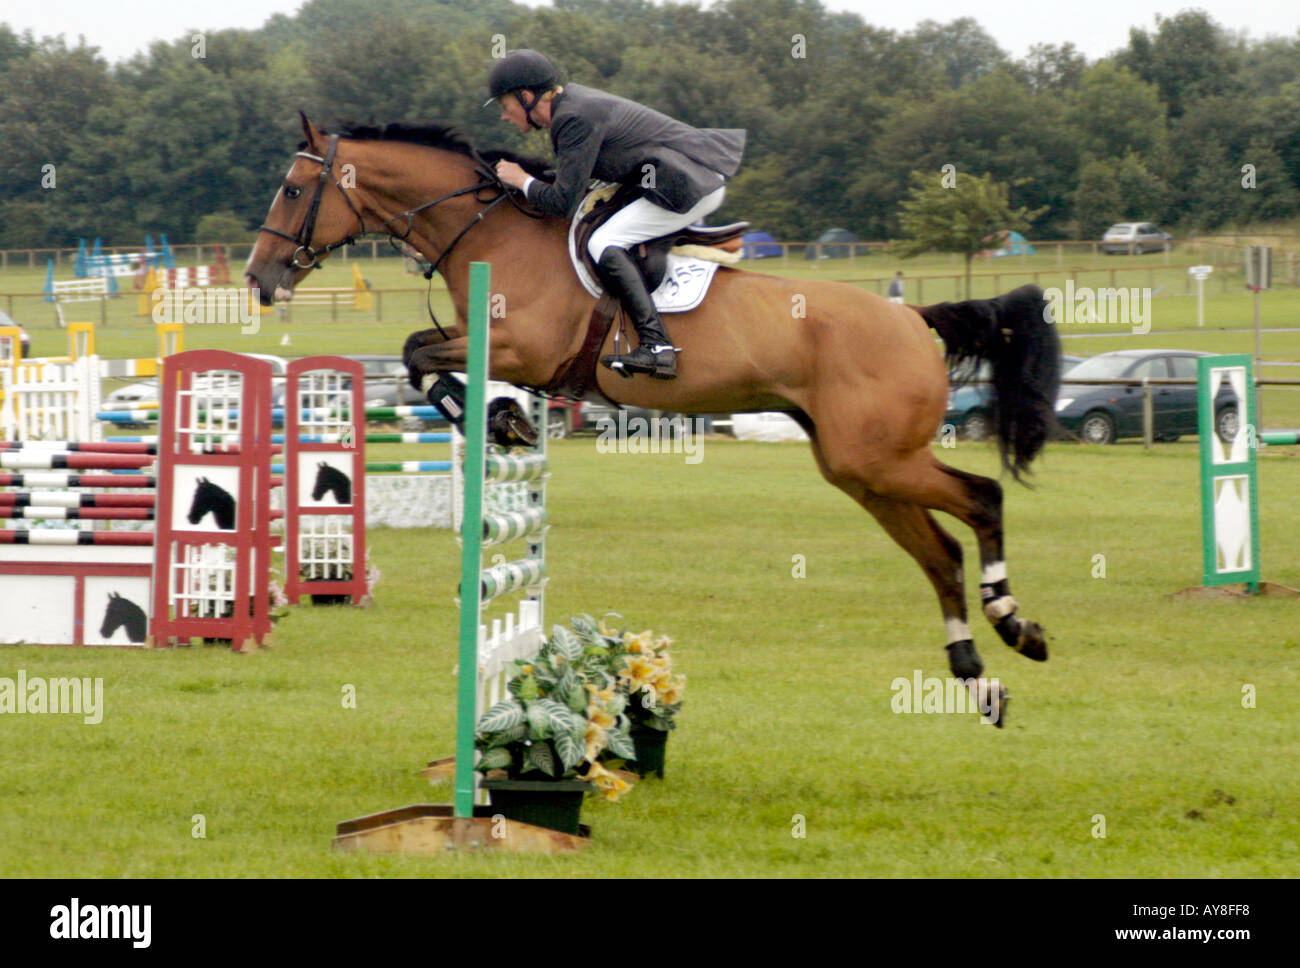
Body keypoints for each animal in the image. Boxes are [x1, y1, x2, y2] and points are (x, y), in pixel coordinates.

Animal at [245, 115, 1062, 723]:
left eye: (291, 188)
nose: (258, 279)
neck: (490, 232)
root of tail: (912, 317)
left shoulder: (522, 347)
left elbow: (420, 354)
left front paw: (503, 418)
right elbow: (418, 353)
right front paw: (504, 418)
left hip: (879, 460)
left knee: (981, 500)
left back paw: (1013, 619)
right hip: (861, 470)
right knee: (940, 555)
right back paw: (977, 673)